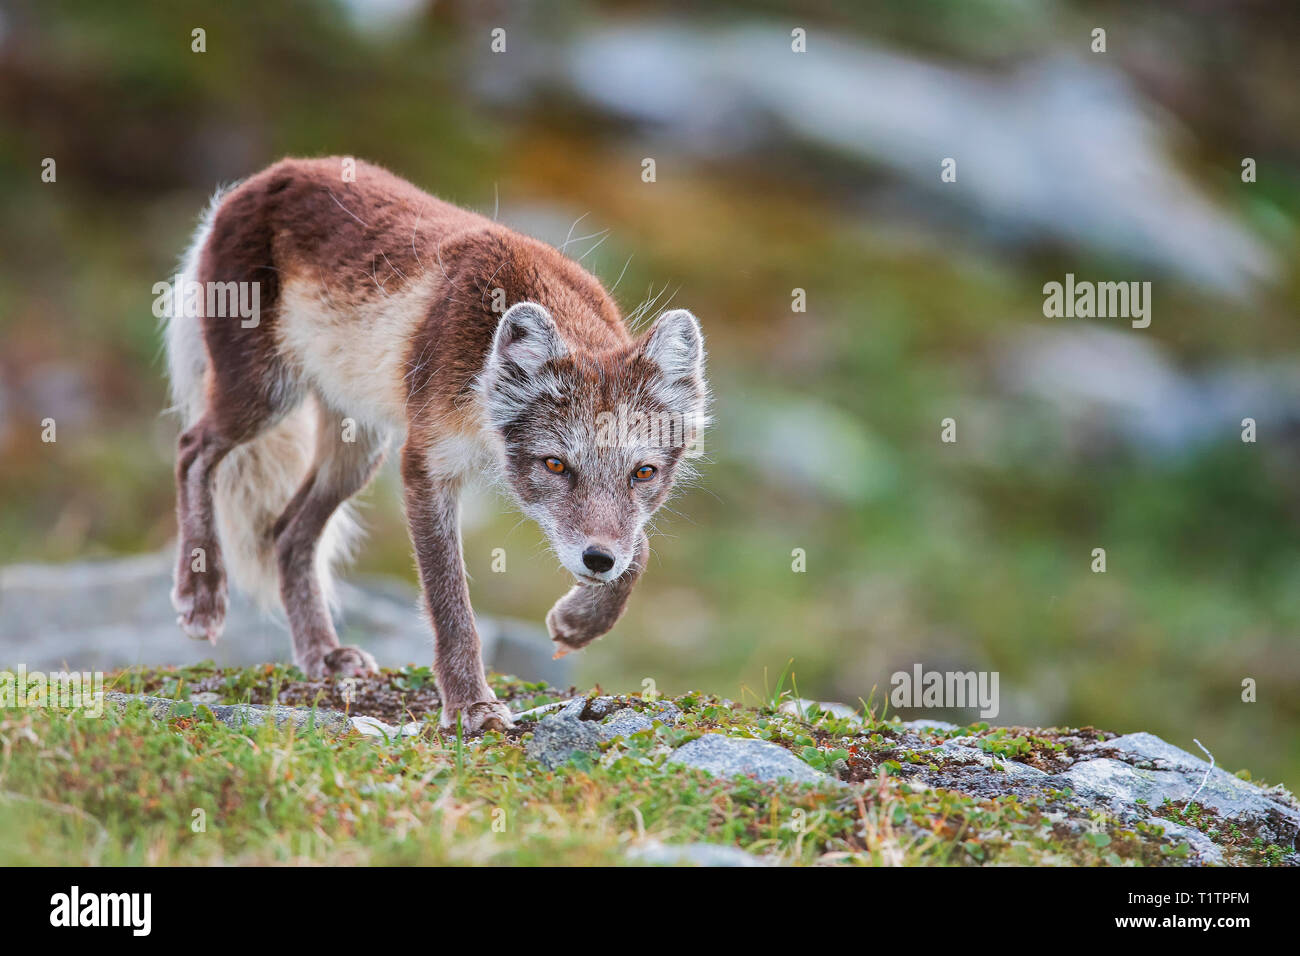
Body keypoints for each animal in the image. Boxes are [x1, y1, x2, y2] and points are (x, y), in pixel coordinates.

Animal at [164, 157, 708, 732]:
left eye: (644, 473)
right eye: (555, 464)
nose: (597, 561)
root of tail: (268, 175)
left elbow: (638, 548)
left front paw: (580, 621)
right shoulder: (427, 465)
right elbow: (451, 602)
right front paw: (472, 704)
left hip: (359, 447)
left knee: (288, 532)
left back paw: (322, 654)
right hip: (265, 394)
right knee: (192, 448)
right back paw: (202, 595)